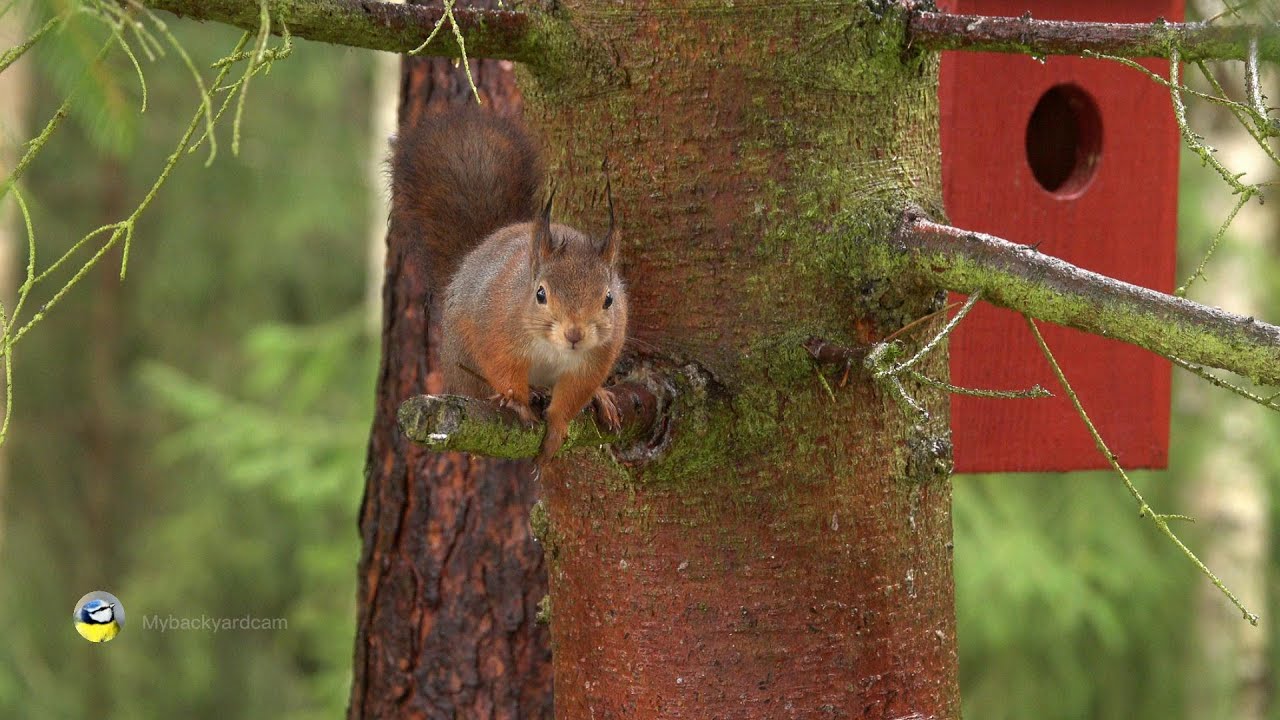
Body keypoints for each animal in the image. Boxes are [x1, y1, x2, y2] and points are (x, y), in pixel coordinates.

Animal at [390, 109, 628, 463]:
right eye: (540, 293)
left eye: (609, 299)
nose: (575, 334)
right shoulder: (498, 335)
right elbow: (503, 370)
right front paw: (517, 404)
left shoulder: (595, 359)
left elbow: (573, 396)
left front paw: (558, 425)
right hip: (462, 362)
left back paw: (598, 397)